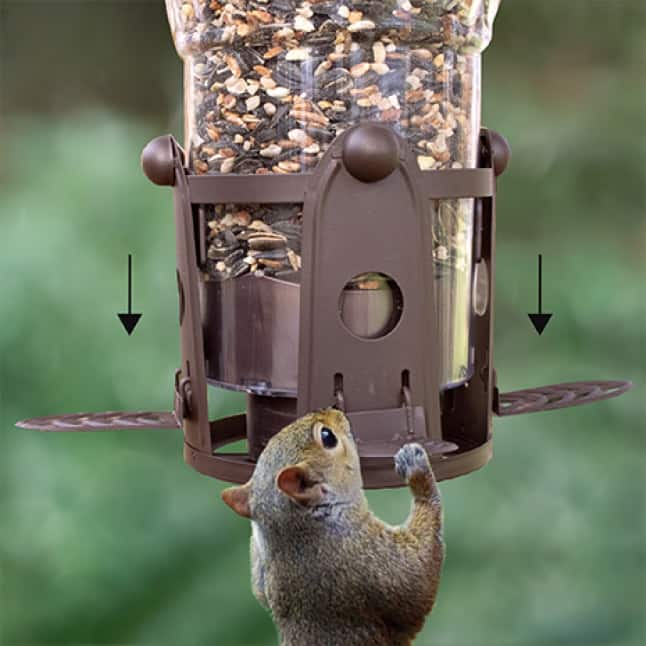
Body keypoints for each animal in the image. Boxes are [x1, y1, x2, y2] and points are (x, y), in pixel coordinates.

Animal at [221, 408, 444, 646]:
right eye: (327, 437)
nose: (333, 409)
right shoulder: (367, 558)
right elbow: (419, 582)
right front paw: (417, 470)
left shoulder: (262, 570)